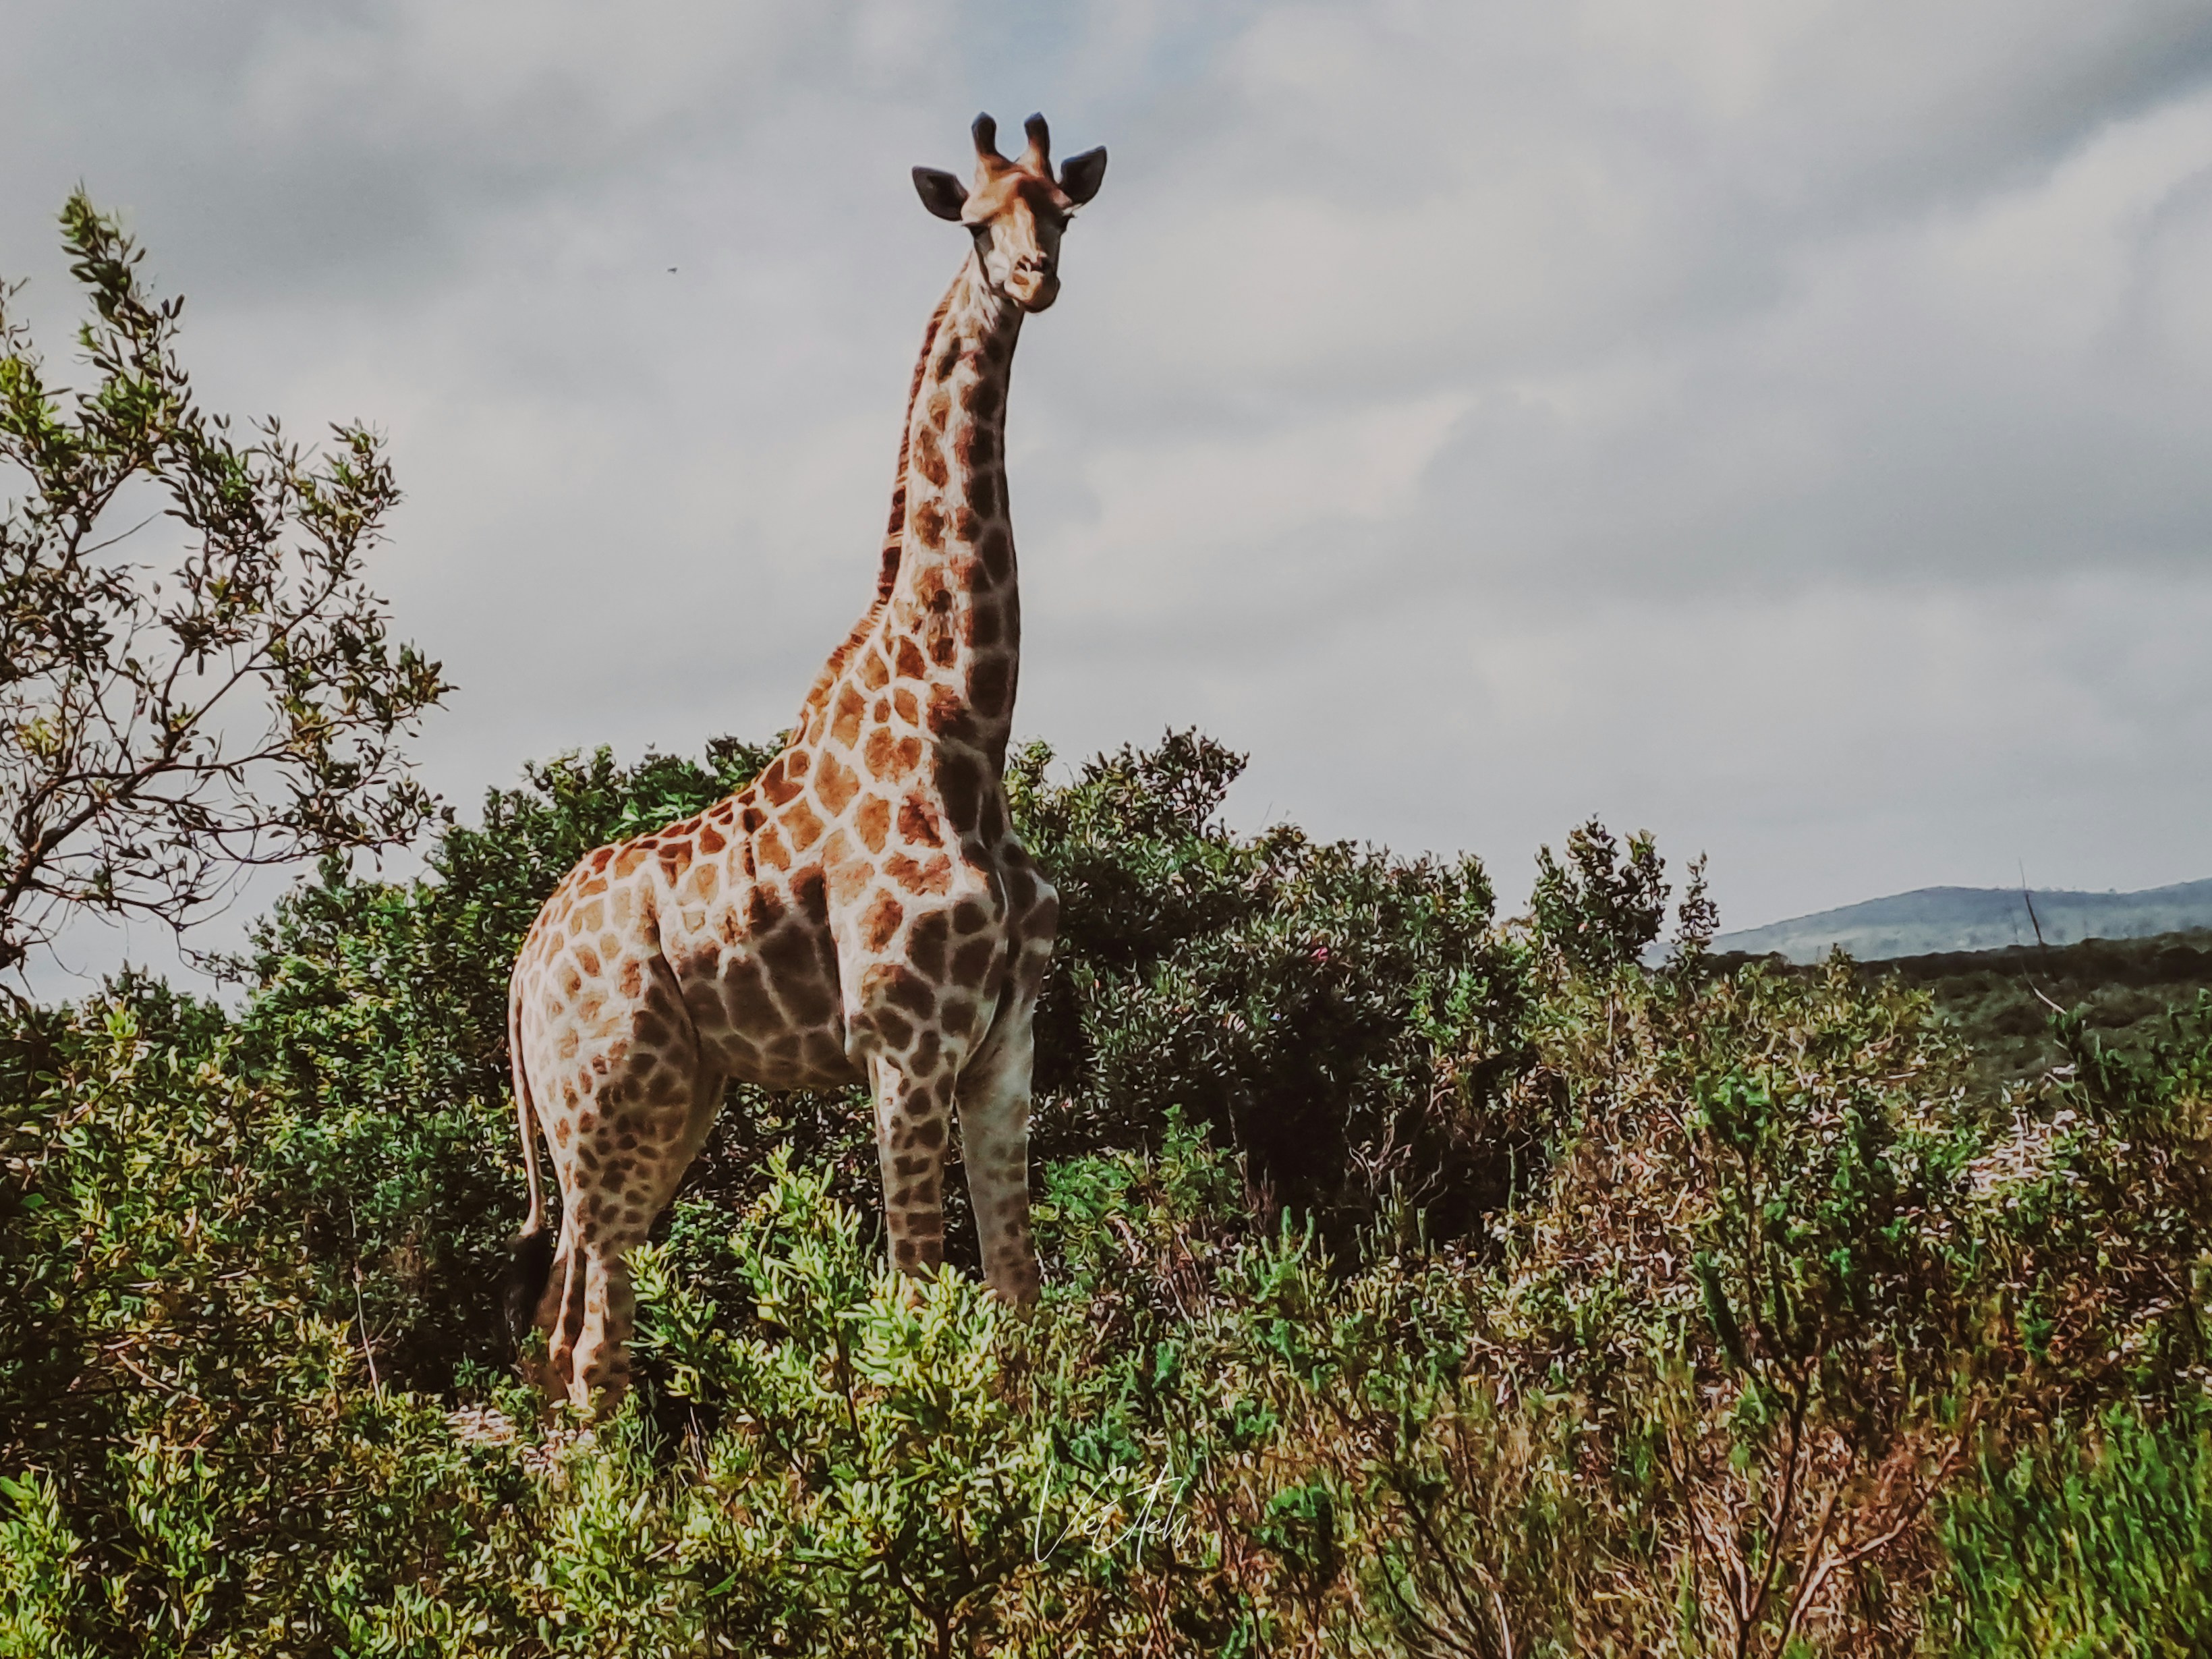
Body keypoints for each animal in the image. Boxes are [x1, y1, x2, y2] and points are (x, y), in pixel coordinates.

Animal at [505, 112, 1107, 1411]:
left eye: (1063, 210)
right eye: (973, 220)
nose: (1034, 278)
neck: (965, 728)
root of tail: (521, 968)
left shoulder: (1003, 1045)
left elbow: (1018, 1298)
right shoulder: (901, 1042)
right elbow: (915, 1297)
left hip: (662, 1103)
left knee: (554, 1331)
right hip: (615, 1103)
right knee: (592, 1341)